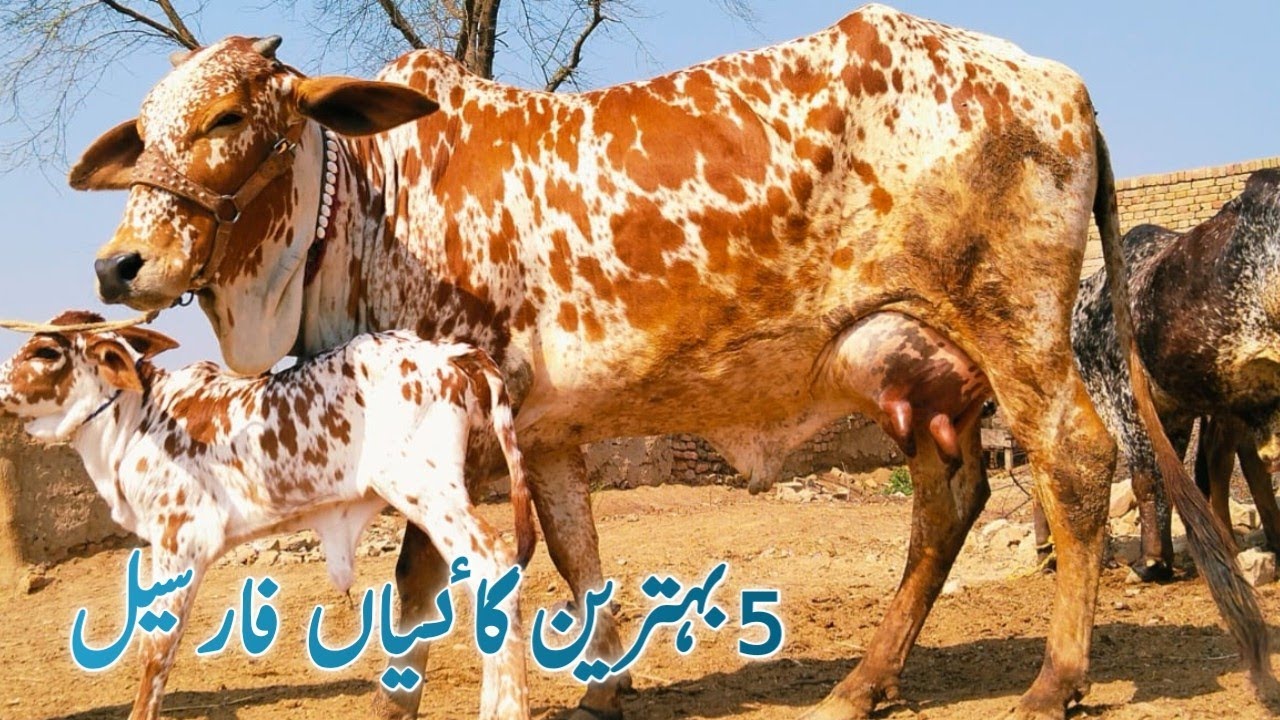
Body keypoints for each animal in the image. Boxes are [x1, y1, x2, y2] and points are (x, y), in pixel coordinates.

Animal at [0, 312, 535, 720]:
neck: (137, 421)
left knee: (494, 565)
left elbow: (156, 650)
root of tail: (448, 352)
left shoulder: (181, 539)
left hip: (428, 491)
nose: (0, 386)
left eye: (46, 352)